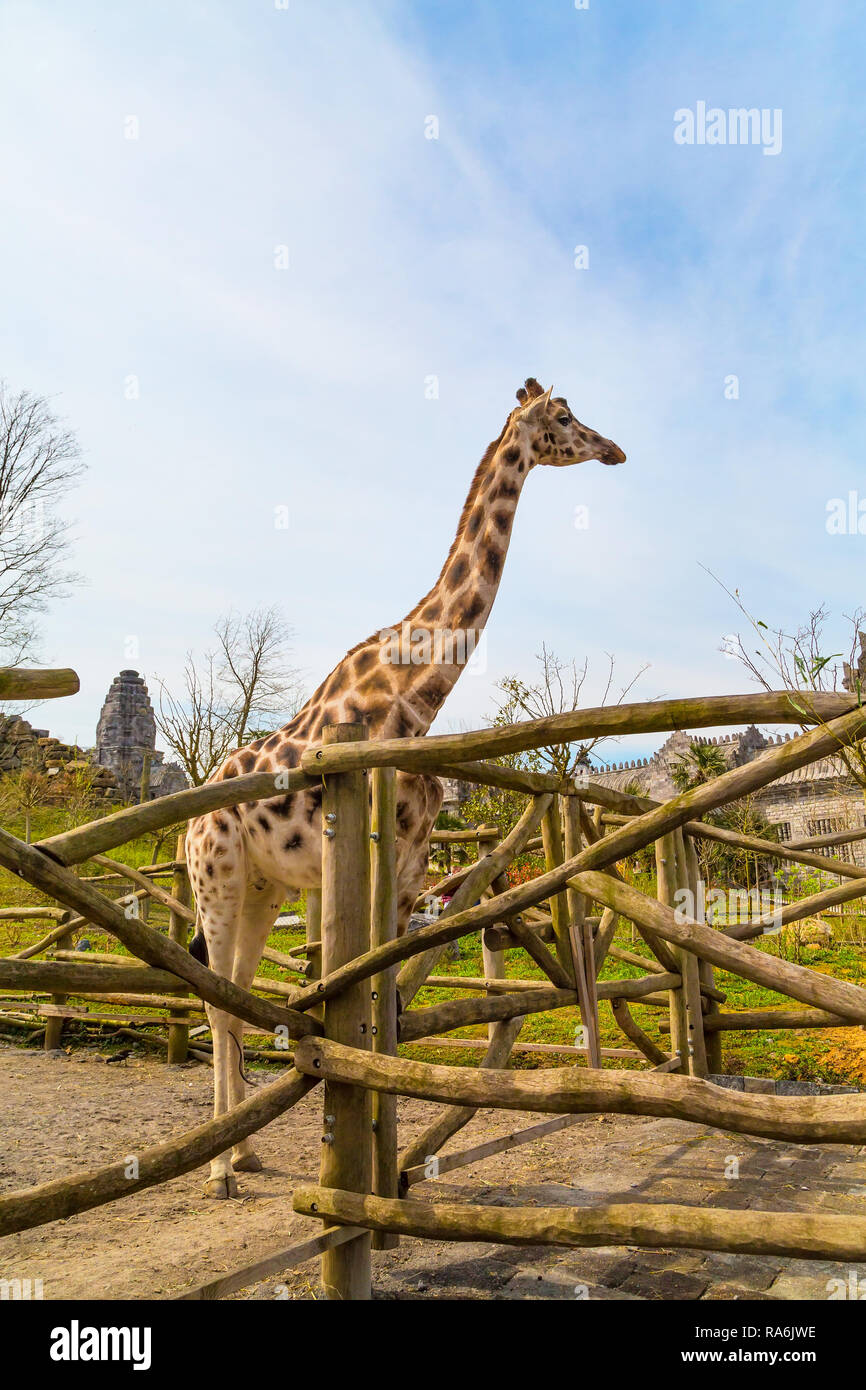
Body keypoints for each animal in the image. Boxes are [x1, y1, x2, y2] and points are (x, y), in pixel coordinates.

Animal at [186, 377, 625, 1196]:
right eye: (563, 416)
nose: (615, 449)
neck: (416, 692)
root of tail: (185, 830)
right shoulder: (375, 864)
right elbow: (364, 1009)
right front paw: (365, 1175)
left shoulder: (410, 868)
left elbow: (380, 1008)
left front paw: (379, 1171)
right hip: (217, 881)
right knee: (219, 1002)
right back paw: (221, 1170)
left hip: (262, 889)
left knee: (233, 996)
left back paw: (245, 1153)